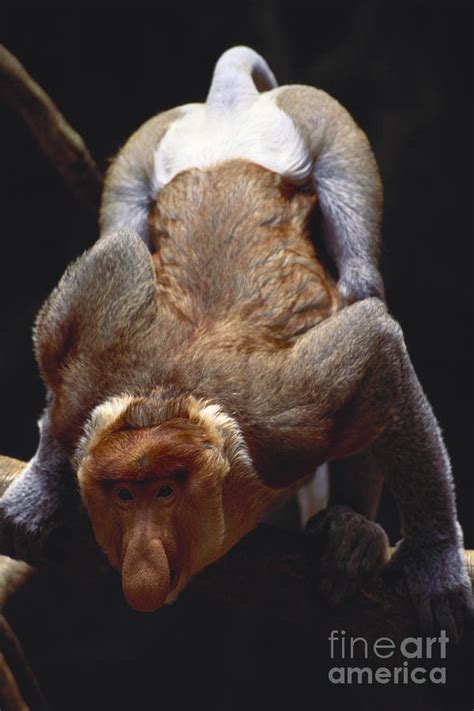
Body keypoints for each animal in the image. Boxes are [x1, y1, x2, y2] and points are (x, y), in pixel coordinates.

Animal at [0, 47, 471, 633]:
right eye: (124, 495)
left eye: (166, 491)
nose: (142, 563)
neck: (168, 394)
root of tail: (230, 112)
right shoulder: (88, 382)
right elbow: (102, 282)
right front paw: (44, 486)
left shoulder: (287, 422)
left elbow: (376, 341)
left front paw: (436, 558)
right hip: (145, 144)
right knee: (121, 238)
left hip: (323, 118)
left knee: (362, 286)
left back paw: (352, 527)